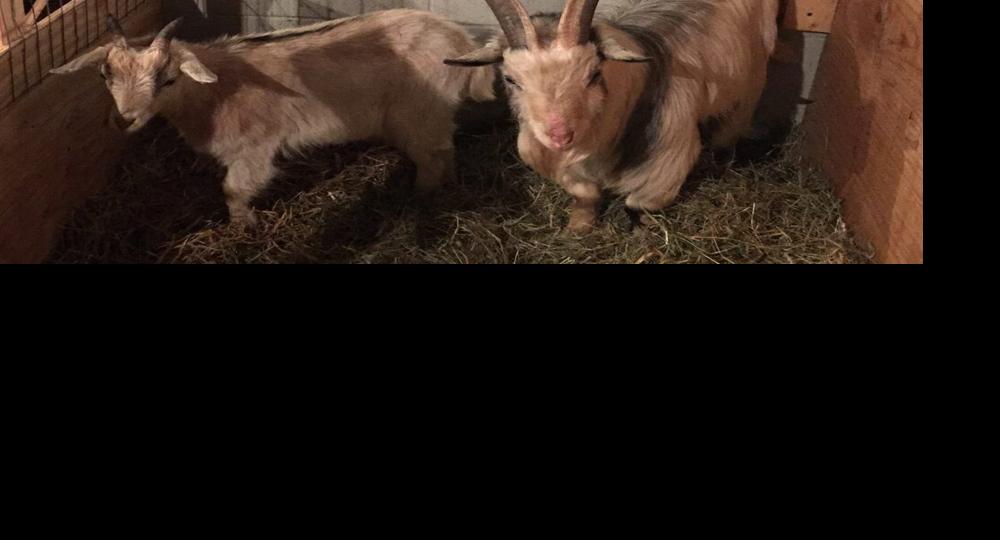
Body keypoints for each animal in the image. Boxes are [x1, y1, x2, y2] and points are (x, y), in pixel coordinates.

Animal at [52, 11, 496, 226]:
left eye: (168, 78)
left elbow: (233, 189)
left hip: (418, 114)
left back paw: (421, 196)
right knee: (445, 148)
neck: (215, 90)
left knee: (431, 156)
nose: (124, 119)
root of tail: (460, 40)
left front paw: (242, 229)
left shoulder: (256, 147)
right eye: (105, 74)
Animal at [446, 0, 779, 233]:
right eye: (511, 79)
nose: (560, 135)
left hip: (754, 74)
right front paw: (576, 231)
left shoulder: (667, 163)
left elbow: (637, 204)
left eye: (594, 74)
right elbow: (585, 196)